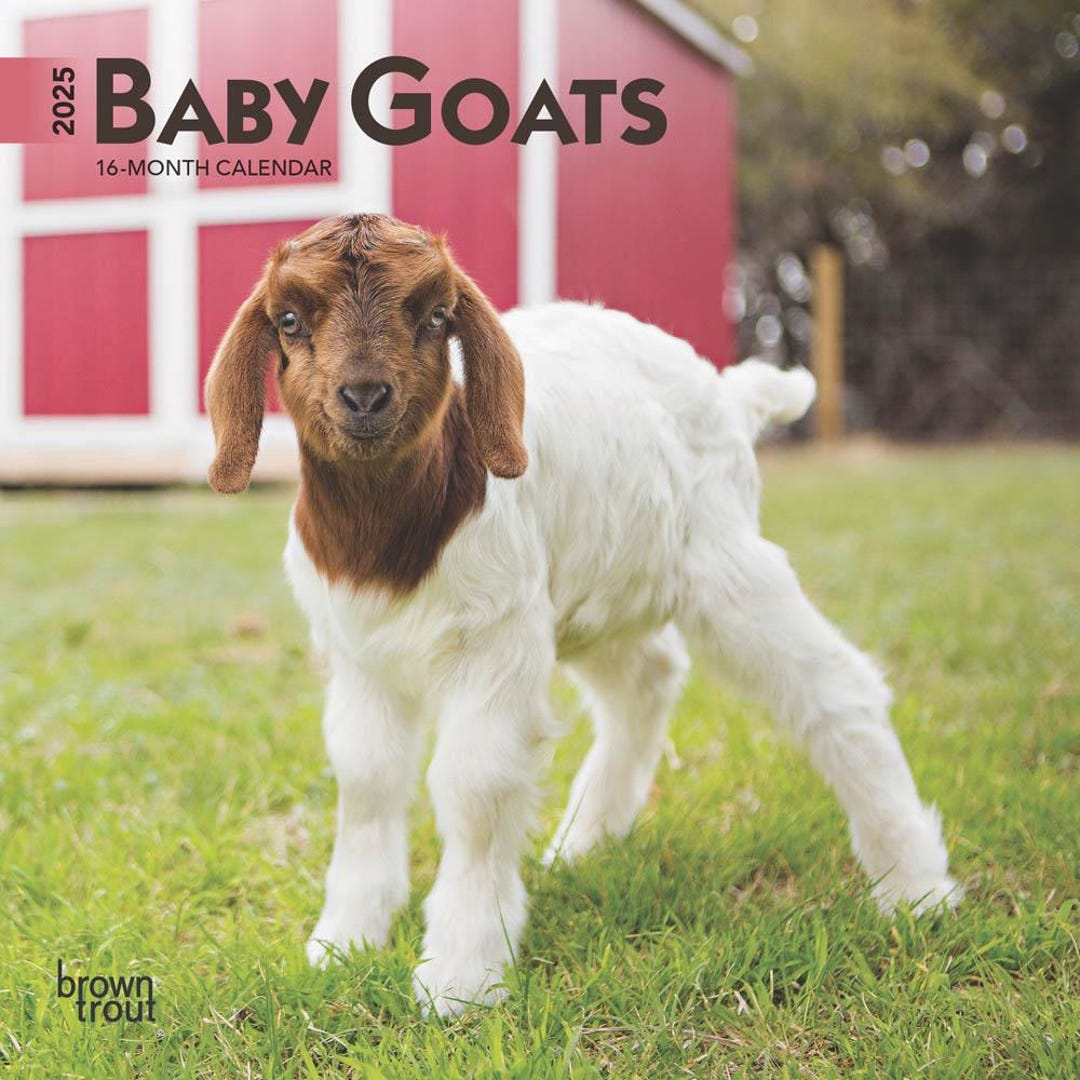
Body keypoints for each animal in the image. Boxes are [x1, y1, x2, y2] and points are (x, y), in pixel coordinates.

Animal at [205, 213, 959, 1016]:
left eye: (436, 315)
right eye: (289, 319)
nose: (366, 396)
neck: (391, 535)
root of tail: (729, 393)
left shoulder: (499, 640)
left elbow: (474, 785)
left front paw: (460, 977)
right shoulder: (358, 653)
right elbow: (367, 777)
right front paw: (344, 940)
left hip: (722, 564)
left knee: (836, 687)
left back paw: (915, 886)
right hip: (598, 590)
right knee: (649, 677)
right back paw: (586, 841)